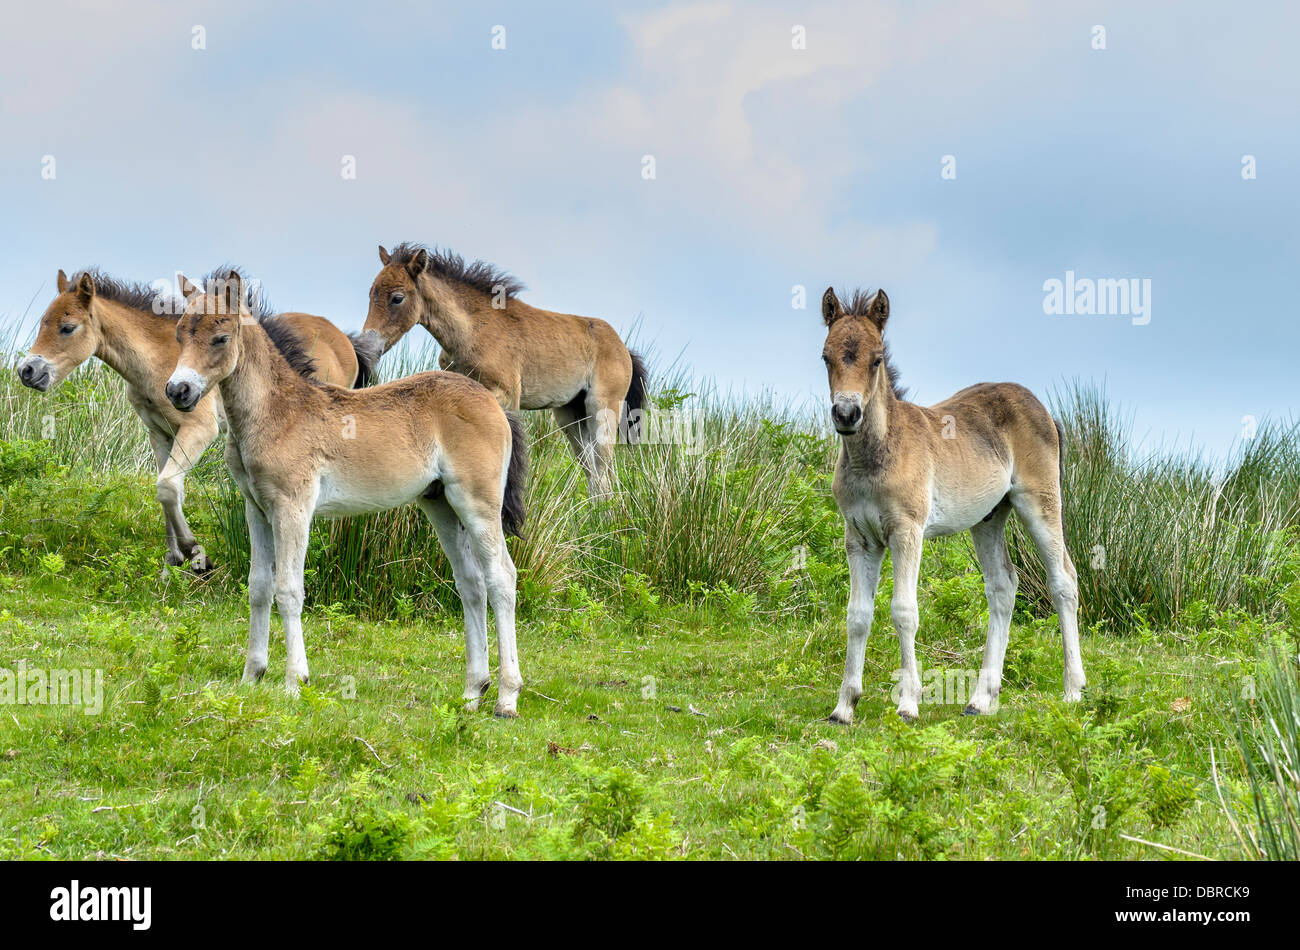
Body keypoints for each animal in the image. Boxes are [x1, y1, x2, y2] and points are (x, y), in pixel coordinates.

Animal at [15, 267, 377, 570]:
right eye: (42, 323)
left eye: (67, 328)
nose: (27, 371)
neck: (157, 359)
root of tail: (345, 340)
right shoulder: (158, 432)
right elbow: (167, 489)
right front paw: (171, 560)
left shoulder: (199, 429)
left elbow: (168, 486)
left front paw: (196, 554)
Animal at [165, 272, 528, 713]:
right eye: (180, 333)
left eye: (219, 338)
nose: (178, 391)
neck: (277, 414)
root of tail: (493, 404)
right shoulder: (256, 509)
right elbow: (259, 587)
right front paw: (252, 676)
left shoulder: (292, 508)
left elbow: (288, 589)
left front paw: (295, 681)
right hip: (440, 504)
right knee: (471, 585)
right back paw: (474, 691)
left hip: (477, 503)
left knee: (502, 578)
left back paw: (507, 698)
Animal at [358, 243, 648, 493]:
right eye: (371, 293)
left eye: (397, 298)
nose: (367, 346)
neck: (471, 330)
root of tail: (623, 349)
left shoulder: (508, 397)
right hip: (570, 413)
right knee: (590, 467)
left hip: (602, 406)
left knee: (603, 464)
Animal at [818, 287, 1086, 723]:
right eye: (826, 356)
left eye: (877, 359)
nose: (846, 413)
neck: (873, 456)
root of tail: (1042, 408)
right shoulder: (859, 539)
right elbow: (857, 616)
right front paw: (844, 706)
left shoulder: (906, 532)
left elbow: (903, 611)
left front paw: (908, 703)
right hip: (988, 518)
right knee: (1003, 586)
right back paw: (981, 699)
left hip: (1040, 502)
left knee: (1063, 580)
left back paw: (1073, 689)